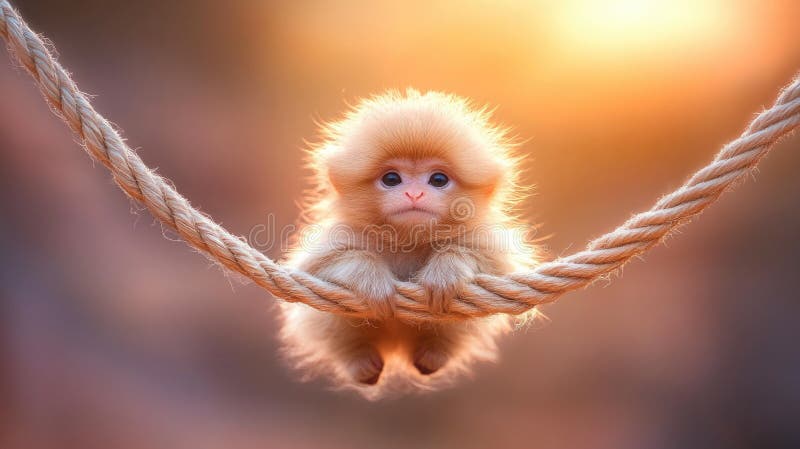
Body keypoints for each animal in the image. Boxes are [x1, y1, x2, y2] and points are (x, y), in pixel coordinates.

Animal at [278, 89, 540, 397]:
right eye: (392, 178)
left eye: (438, 179)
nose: (414, 194)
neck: (407, 239)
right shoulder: (339, 238)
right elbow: (327, 263)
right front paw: (372, 280)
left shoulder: (483, 240)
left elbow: (489, 262)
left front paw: (446, 271)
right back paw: (361, 363)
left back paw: (431, 356)